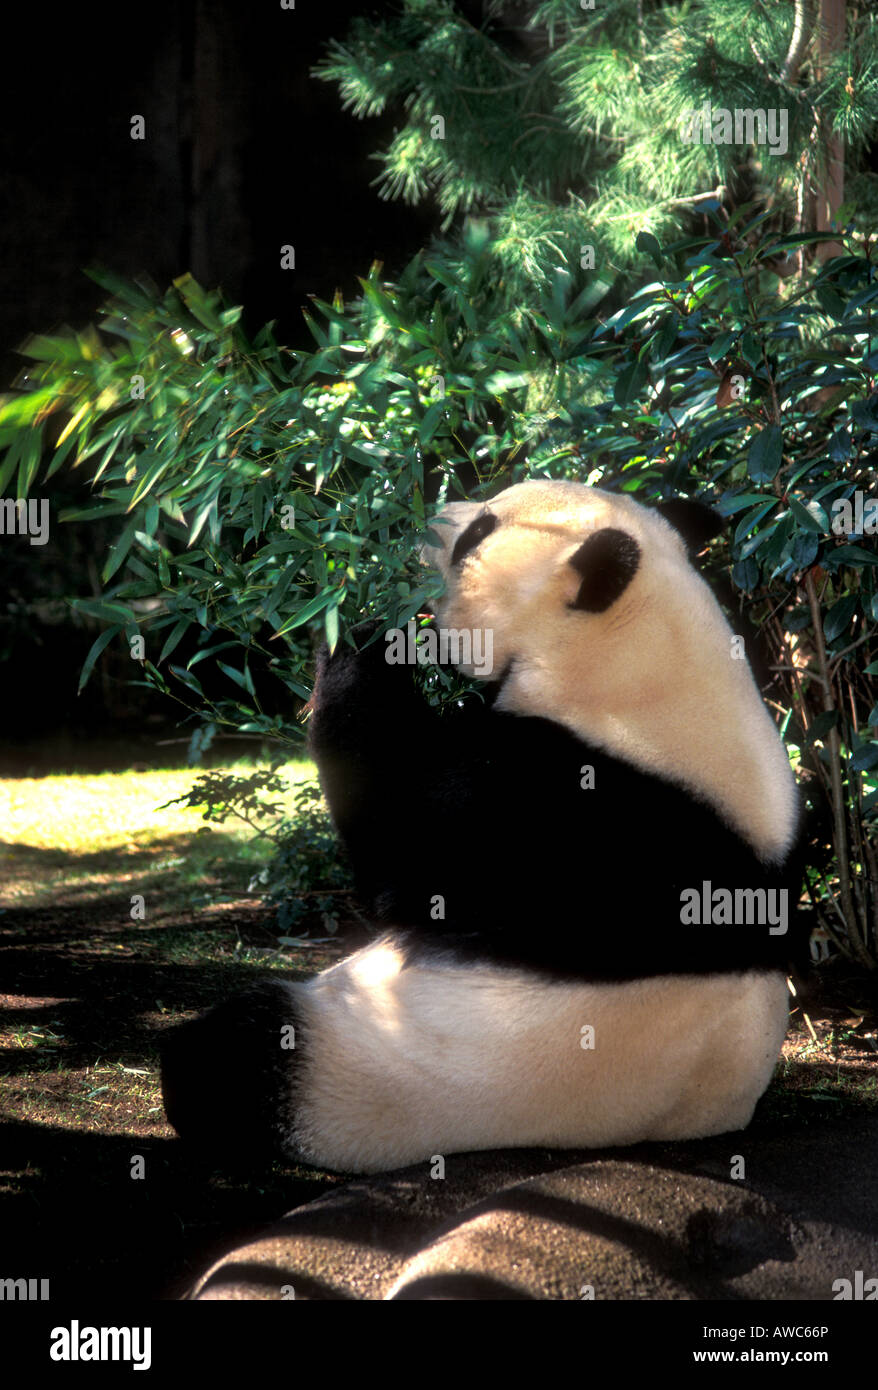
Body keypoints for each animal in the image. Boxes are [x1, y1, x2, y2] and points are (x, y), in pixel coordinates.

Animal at [161, 480, 805, 1174]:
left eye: (478, 532)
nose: (423, 522)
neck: (640, 664)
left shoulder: (569, 808)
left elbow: (406, 855)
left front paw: (363, 610)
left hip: (385, 1074)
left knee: (250, 1054)